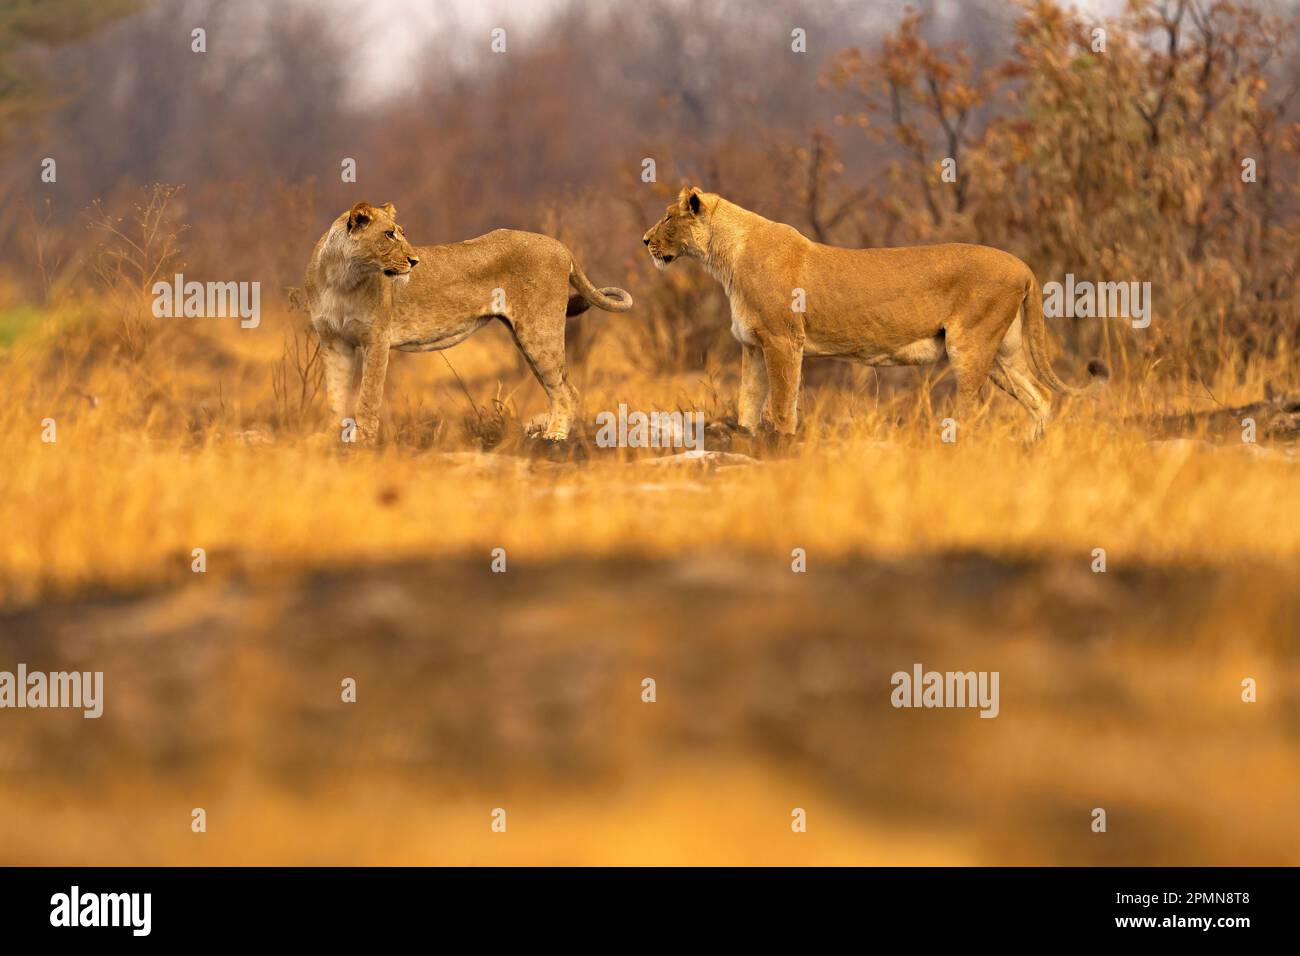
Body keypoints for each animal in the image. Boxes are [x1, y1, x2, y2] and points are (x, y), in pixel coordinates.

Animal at [305, 201, 632, 442]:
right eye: (388, 234)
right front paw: (332, 438)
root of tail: (561, 246)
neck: (341, 278)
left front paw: (363, 443)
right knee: (557, 388)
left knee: (567, 391)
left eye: (400, 232)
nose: (414, 261)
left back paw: (555, 438)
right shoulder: (334, 343)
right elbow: (335, 394)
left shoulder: (377, 340)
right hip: (525, 337)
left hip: (539, 332)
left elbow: (367, 397)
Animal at [642, 187, 1106, 442]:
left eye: (667, 217)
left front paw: (782, 448)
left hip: (970, 344)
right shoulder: (753, 346)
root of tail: (1023, 266)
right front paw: (748, 443)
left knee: (973, 407)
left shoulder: (783, 341)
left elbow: (782, 404)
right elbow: (747, 404)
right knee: (1041, 397)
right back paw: (1032, 450)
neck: (724, 258)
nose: (645, 240)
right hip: (1002, 354)